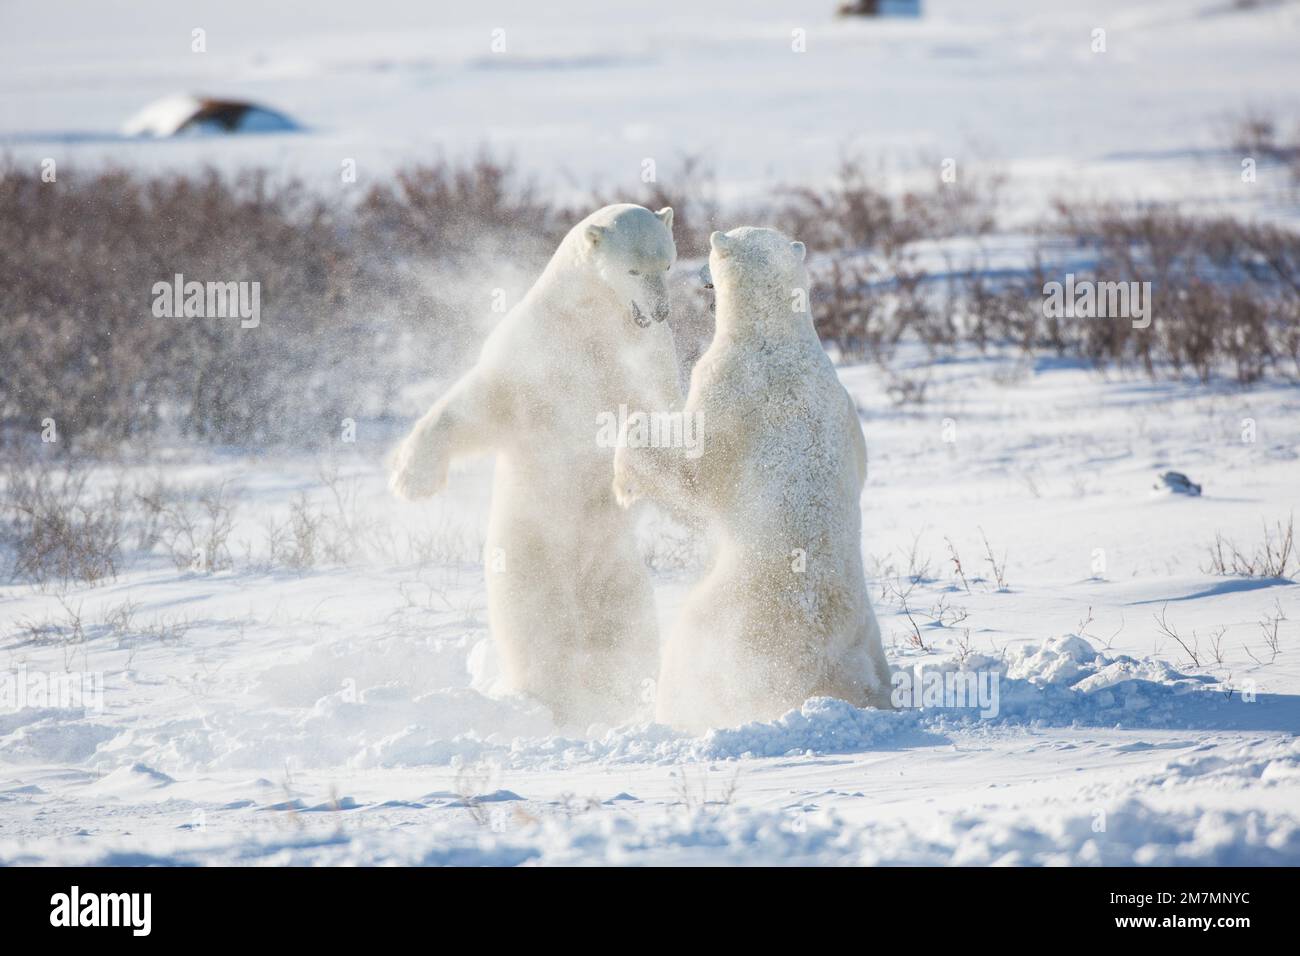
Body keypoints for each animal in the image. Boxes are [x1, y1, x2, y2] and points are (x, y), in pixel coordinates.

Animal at [388, 203, 682, 727]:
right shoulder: (536, 351)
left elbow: (656, 411)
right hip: (527, 561)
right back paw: (548, 703)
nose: (659, 311)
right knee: (540, 633)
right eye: (632, 270)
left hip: (621, 574)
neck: (592, 324)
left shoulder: (645, 359)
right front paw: (411, 478)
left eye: (667, 264)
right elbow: (481, 402)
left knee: (626, 633)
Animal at [612, 226, 891, 731]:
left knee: (689, 653)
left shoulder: (724, 386)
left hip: (732, 619)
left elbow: (694, 477)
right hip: (868, 636)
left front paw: (625, 476)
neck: (773, 334)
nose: (696, 274)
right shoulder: (844, 406)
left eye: (708, 252)